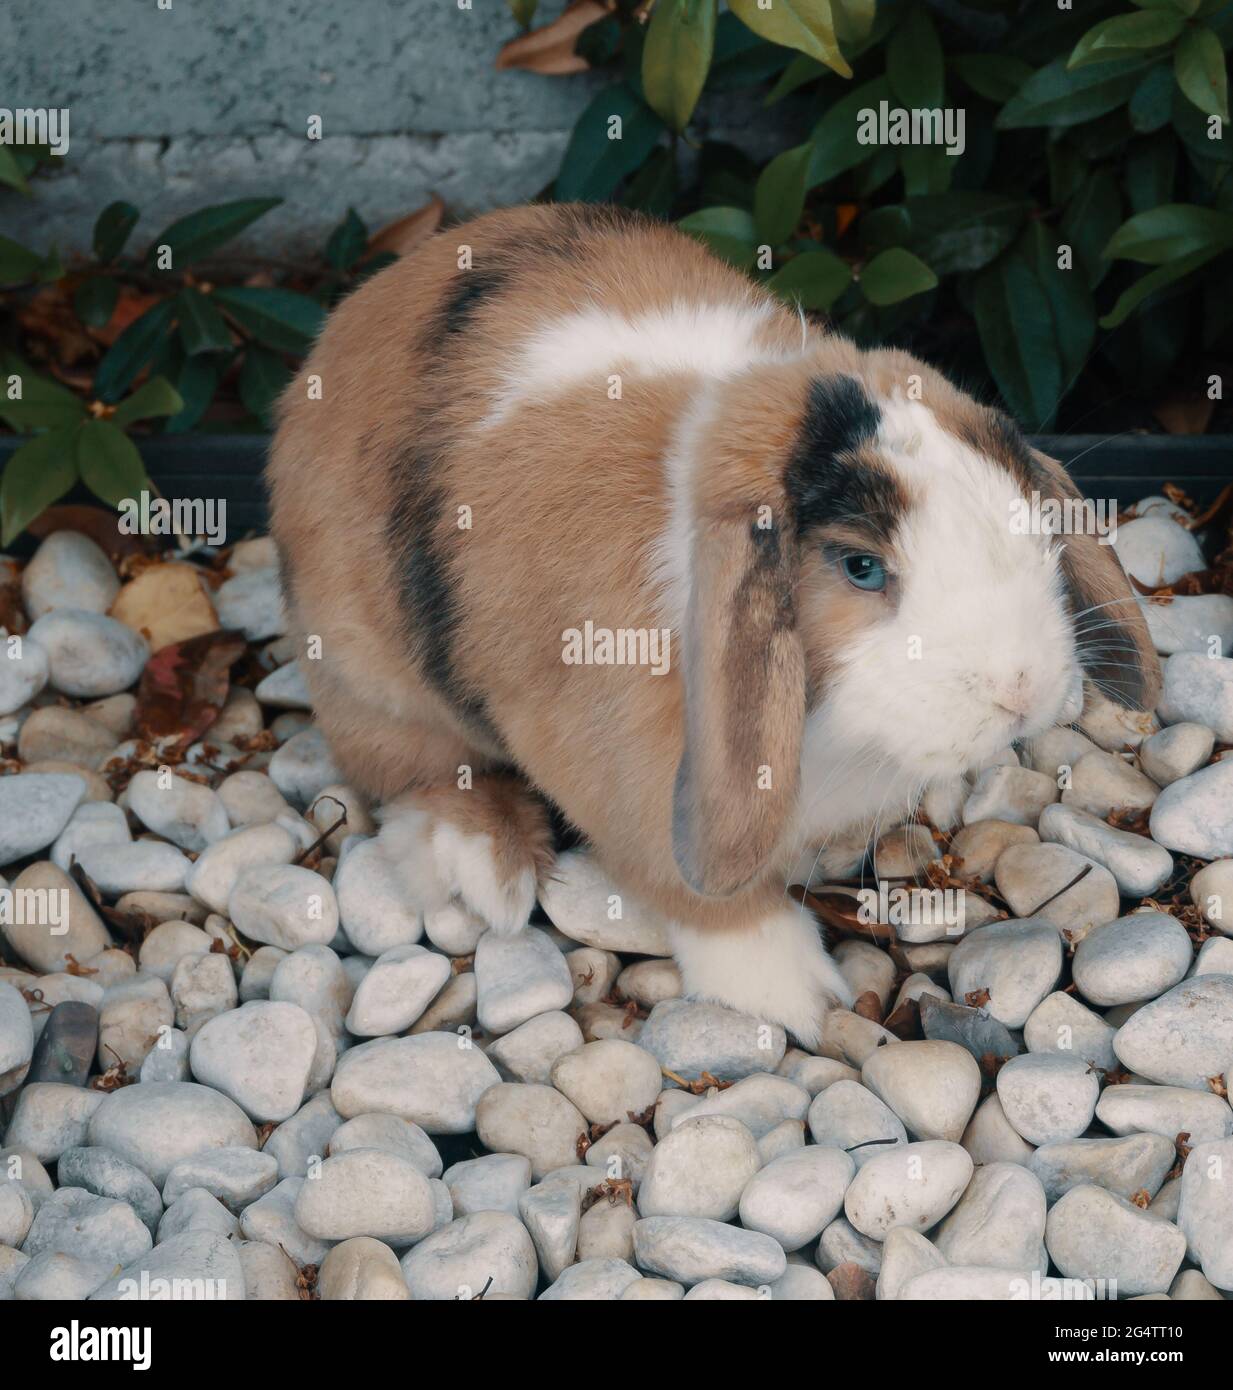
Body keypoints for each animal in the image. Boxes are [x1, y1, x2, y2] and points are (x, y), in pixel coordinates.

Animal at [267, 202, 1160, 1047]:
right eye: (859, 567)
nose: (1023, 689)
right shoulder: (628, 777)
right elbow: (701, 897)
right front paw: (794, 995)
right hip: (373, 684)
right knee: (412, 773)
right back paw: (488, 865)